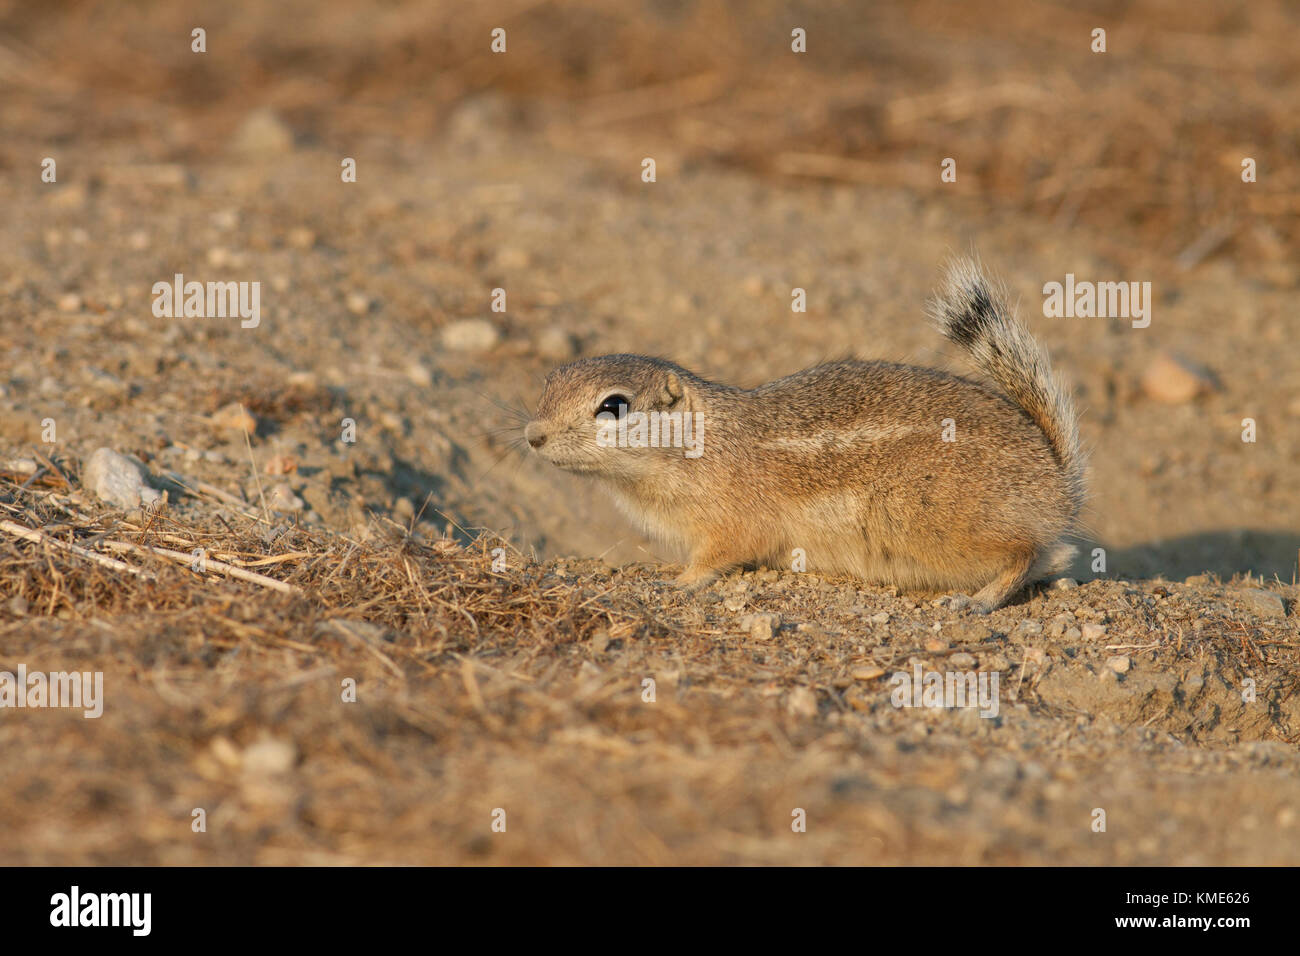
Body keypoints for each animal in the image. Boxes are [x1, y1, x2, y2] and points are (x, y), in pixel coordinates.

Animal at [524, 258, 1086, 611]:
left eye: (613, 406)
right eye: (549, 381)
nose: (532, 436)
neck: (696, 445)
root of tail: (1057, 484)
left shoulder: (733, 523)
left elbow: (715, 559)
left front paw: (678, 582)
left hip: (937, 521)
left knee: (1022, 554)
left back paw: (973, 602)